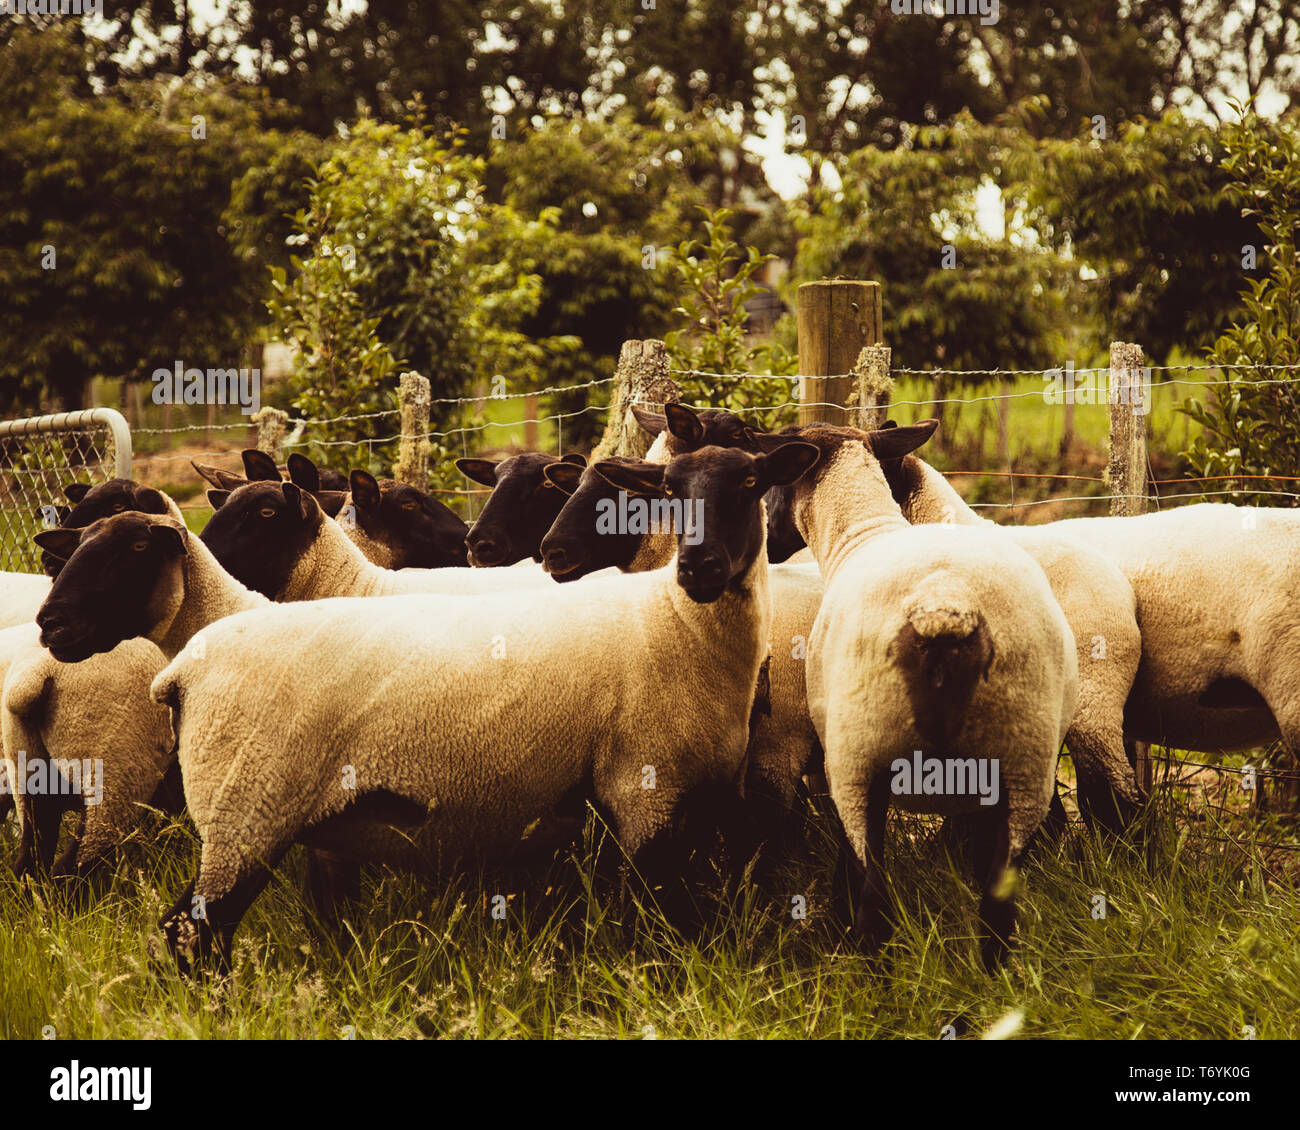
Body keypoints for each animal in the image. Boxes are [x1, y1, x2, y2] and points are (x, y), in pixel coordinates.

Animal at [776, 421, 1078, 969]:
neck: (863, 530)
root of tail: (945, 604)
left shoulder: (836, 758)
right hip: (1025, 764)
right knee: (999, 904)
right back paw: (995, 980)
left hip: (862, 758)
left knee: (873, 897)